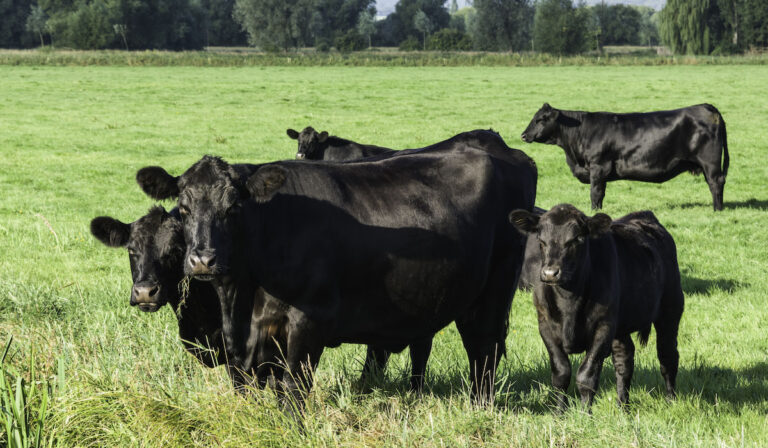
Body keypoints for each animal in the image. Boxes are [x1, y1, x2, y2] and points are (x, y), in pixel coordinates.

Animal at [135, 130, 537, 409]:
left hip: (495, 289)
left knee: (482, 349)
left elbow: (293, 391)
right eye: (183, 208)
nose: (202, 260)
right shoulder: (247, 343)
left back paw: (480, 408)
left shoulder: (307, 323)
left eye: (233, 207)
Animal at [509, 204, 684, 411]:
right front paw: (559, 413)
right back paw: (622, 406)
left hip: (670, 310)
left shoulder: (603, 327)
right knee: (624, 359)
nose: (550, 273)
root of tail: (645, 216)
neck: (569, 302)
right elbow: (561, 374)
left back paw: (671, 401)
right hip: (621, 326)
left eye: (576, 239)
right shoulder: (545, 326)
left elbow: (586, 376)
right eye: (541, 240)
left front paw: (585, 414)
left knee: (667, 356)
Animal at [520, 103, 729, 211]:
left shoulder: (598, 167)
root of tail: (707, 107)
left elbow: (595, 192)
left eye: (540, 119)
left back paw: (717, 209)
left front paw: (594, 211)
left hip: (710, 163)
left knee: (715, 183)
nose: (523, 135)